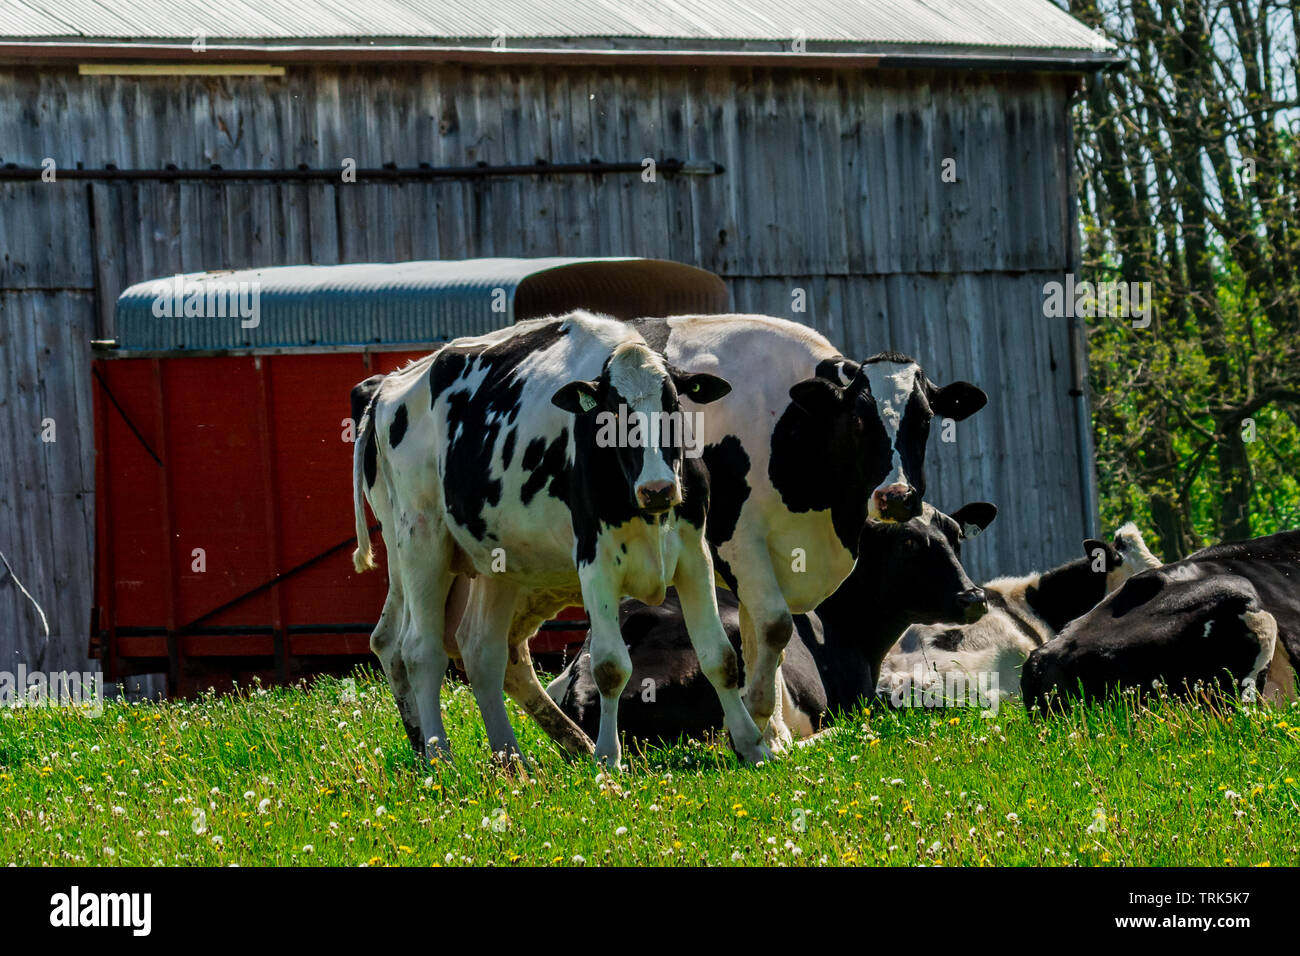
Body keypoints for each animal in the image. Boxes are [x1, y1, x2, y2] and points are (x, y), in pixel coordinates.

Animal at [350, 310, 772, 769]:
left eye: (674, 404)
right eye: (610, 413)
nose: (658, 488)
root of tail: (389, 385)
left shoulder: (695, 556)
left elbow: (721, 657)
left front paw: (753, 747)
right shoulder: (595, 563)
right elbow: (610, 666)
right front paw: (608, 758)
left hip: (496, 560)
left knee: (479, 651)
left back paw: (512, 759)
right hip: (420, 543)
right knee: (418, 650)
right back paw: (439, 758)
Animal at [619, 315, 988, 746]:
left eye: (926, 419)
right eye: (859, 419)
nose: (897, 497)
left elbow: (760, 639)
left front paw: (770, 735)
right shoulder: (734, 540)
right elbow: (776, 626)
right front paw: (758, 731)